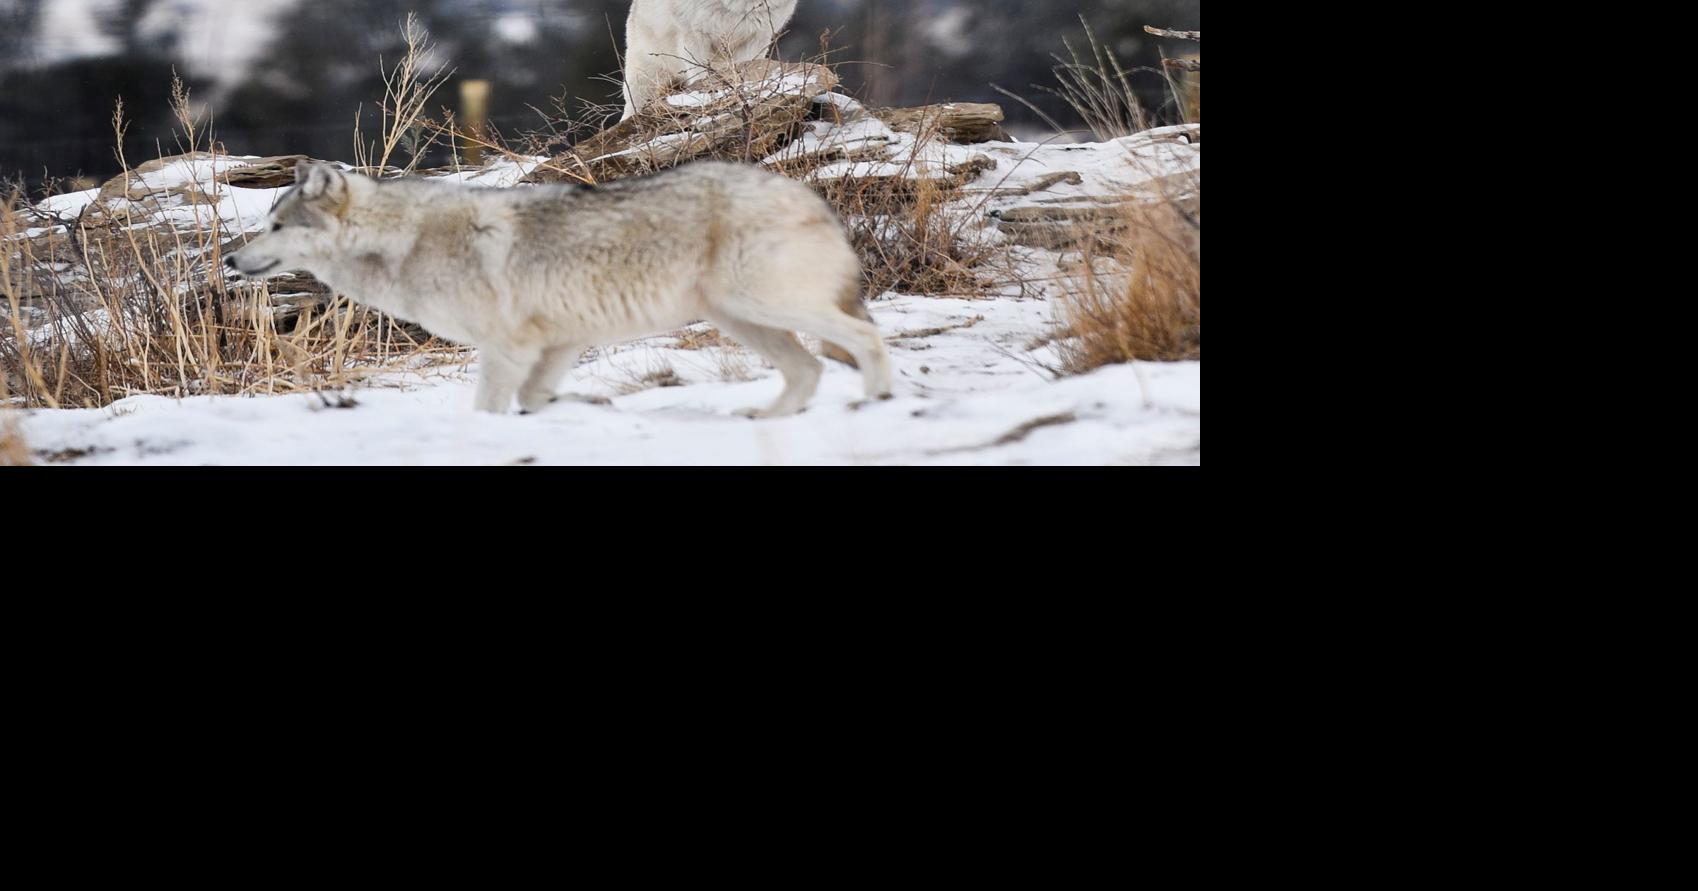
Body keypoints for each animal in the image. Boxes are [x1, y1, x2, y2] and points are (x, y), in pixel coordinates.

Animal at [225, 160, 892, 417]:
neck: (406, 239)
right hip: (743, 318)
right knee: (809, 369)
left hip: (763, 307)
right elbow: (537, 398)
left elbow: (492, 406)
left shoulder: (507, 346)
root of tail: (809, 196)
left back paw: (877, 399)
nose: (231, 258)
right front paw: (584, 406)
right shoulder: (559, 341)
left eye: (277, 226)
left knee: (863, 339)